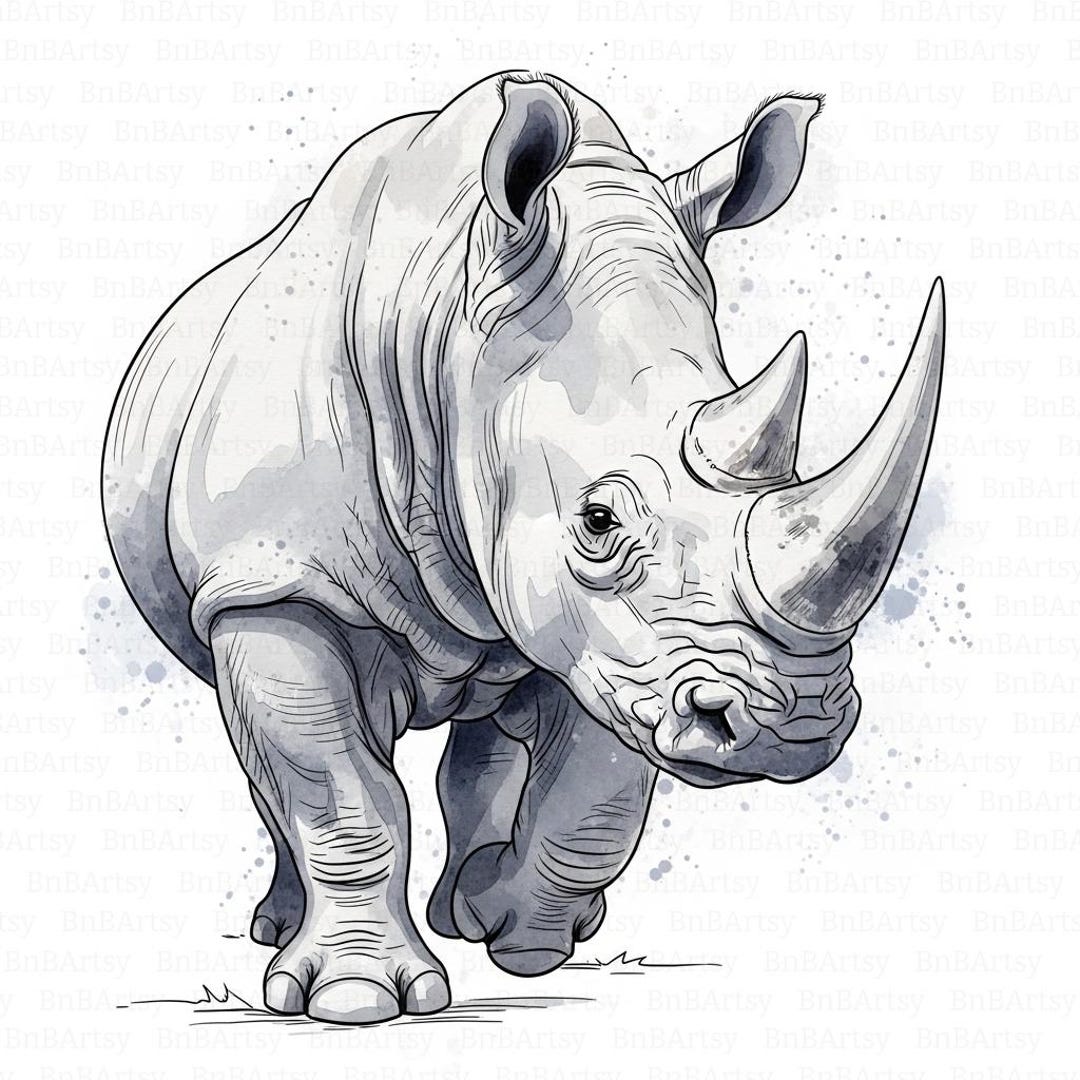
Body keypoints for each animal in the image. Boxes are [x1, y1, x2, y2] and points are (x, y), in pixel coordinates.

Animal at [102, 71, 945, 1025]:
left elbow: (595, 798)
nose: (791, 727)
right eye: (599, 521)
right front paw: (355, 1001)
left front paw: (524, 942)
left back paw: (474, 910)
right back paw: (278, 933)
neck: (444, 331)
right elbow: (339, 791)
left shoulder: (611, 646)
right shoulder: (272, 578)